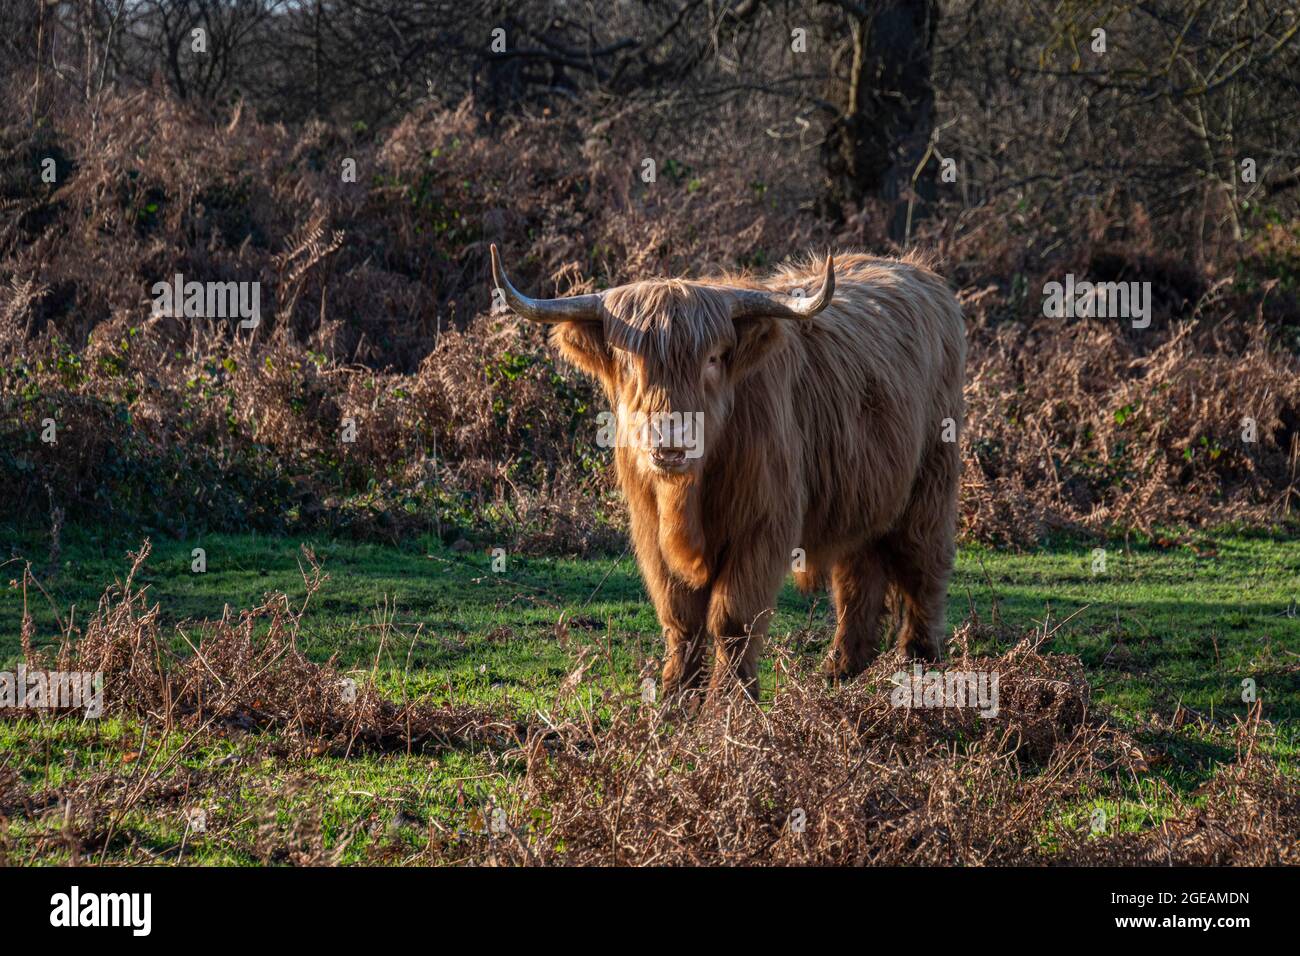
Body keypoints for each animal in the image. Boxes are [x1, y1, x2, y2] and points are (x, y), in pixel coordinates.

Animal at [490, 244, 965, 701]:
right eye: (628, 359)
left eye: (714, 359)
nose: (672, 436)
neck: (689, 492)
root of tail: (922, 275)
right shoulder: (649, 530)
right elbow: (681, 617)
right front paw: (675, 700)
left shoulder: (761, 526)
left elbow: (732, 617)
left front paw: (731, 701)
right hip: (863, 492)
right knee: (857, 575)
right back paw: (841, 669)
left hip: (932, 482)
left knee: (924, 564)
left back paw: (918, 662)